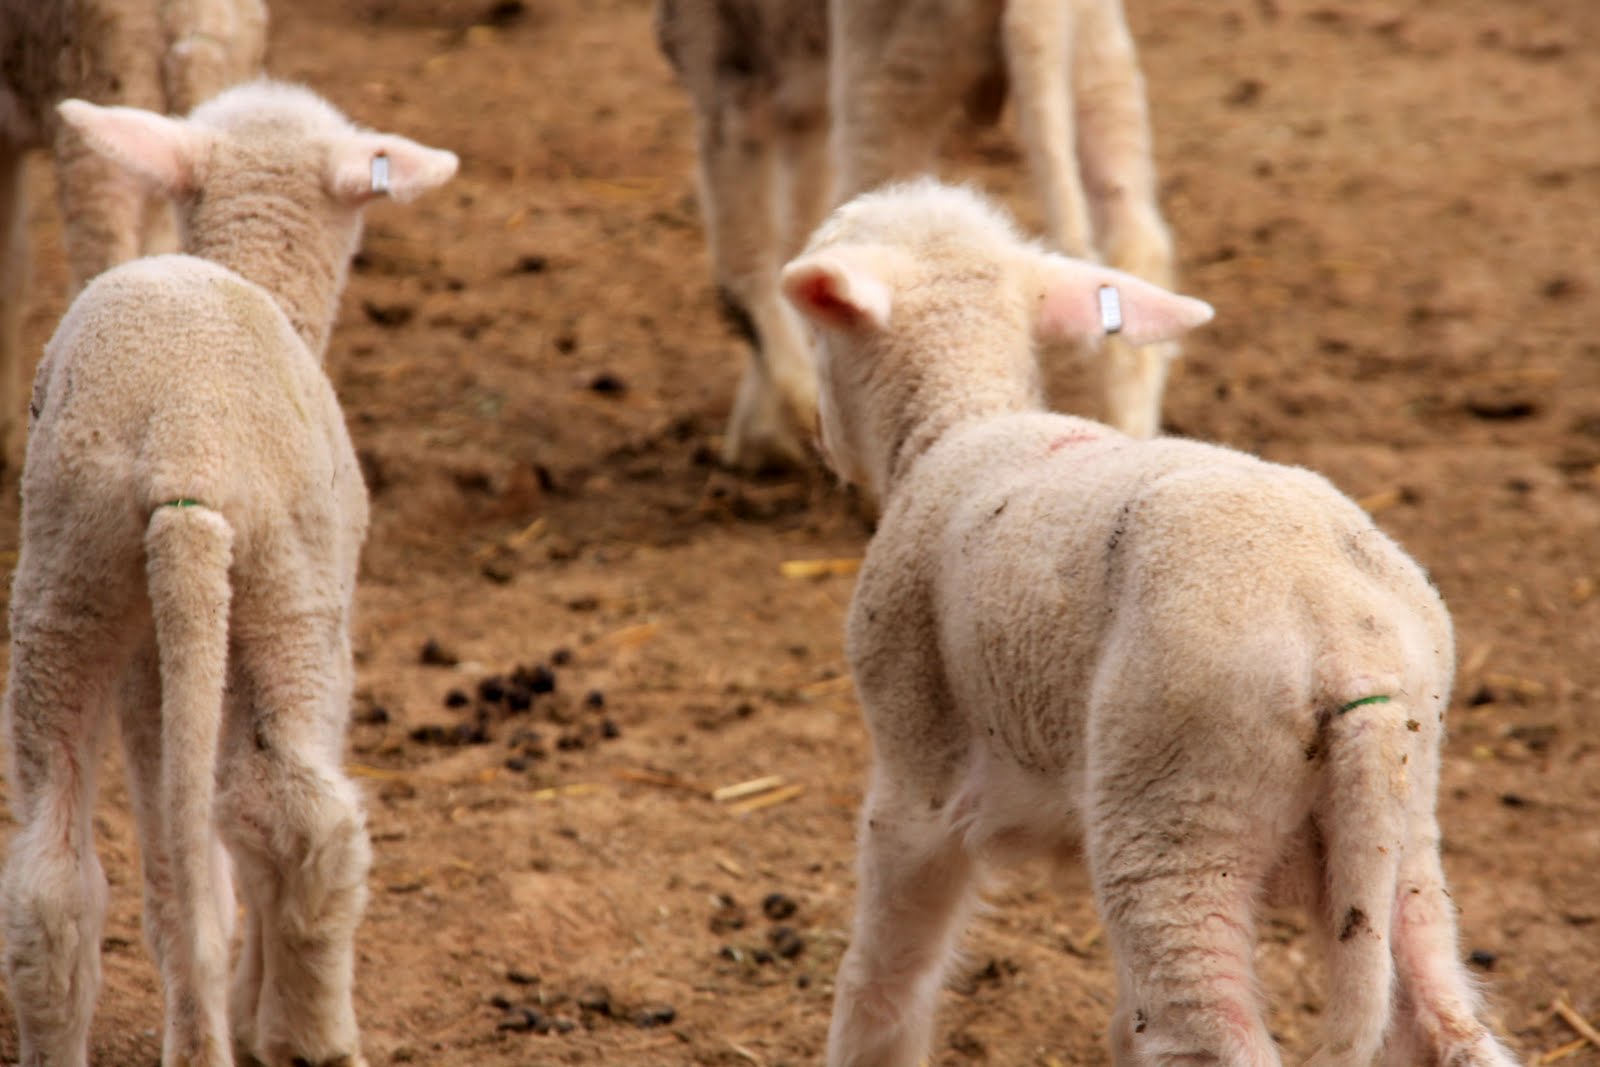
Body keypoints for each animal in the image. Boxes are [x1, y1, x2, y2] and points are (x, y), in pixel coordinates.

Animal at [2, 81, 457, 1067]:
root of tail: (186, 438)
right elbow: (245, 832)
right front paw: (256, 1014)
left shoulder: (156, 669)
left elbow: (190, 857)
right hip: (291, 588)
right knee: (302, 815)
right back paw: (315, 1034)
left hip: (66, 580)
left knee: (51, 879)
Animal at [656, 0, 1178, 470]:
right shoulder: (798, 98)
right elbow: (797, 231)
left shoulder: (724, 68)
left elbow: (747, 259)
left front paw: (775, 427)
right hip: (1099, 58)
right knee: (1136, 241)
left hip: (888, 70)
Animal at [780, 180, 1517, 1067]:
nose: (821, 441)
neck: (957, 423)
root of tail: (1350, 644)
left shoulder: (913, 763)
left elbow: (888, 974)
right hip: (1403, 824)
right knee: (1446, 1021)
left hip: (1177, 811)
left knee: (1215, 1032)